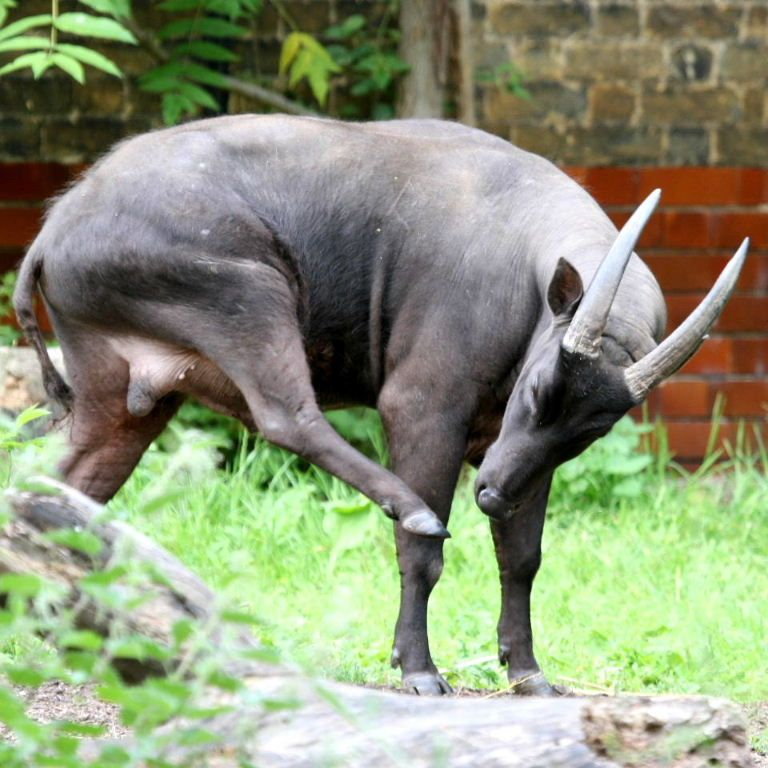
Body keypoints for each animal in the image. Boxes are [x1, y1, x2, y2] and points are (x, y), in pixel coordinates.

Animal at [12, 115, 744, 696]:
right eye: (539, 391)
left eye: (592, 430)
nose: (489, 495)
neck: (518, 271)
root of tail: (56, 225)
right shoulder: (425, 411)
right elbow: (422, 557)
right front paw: (419, 667)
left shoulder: (522, 457)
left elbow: (523, 559)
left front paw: (528, 672)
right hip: (249, 291)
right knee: (289, 418)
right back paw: (411, 507)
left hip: (124, 398)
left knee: (62, 487)